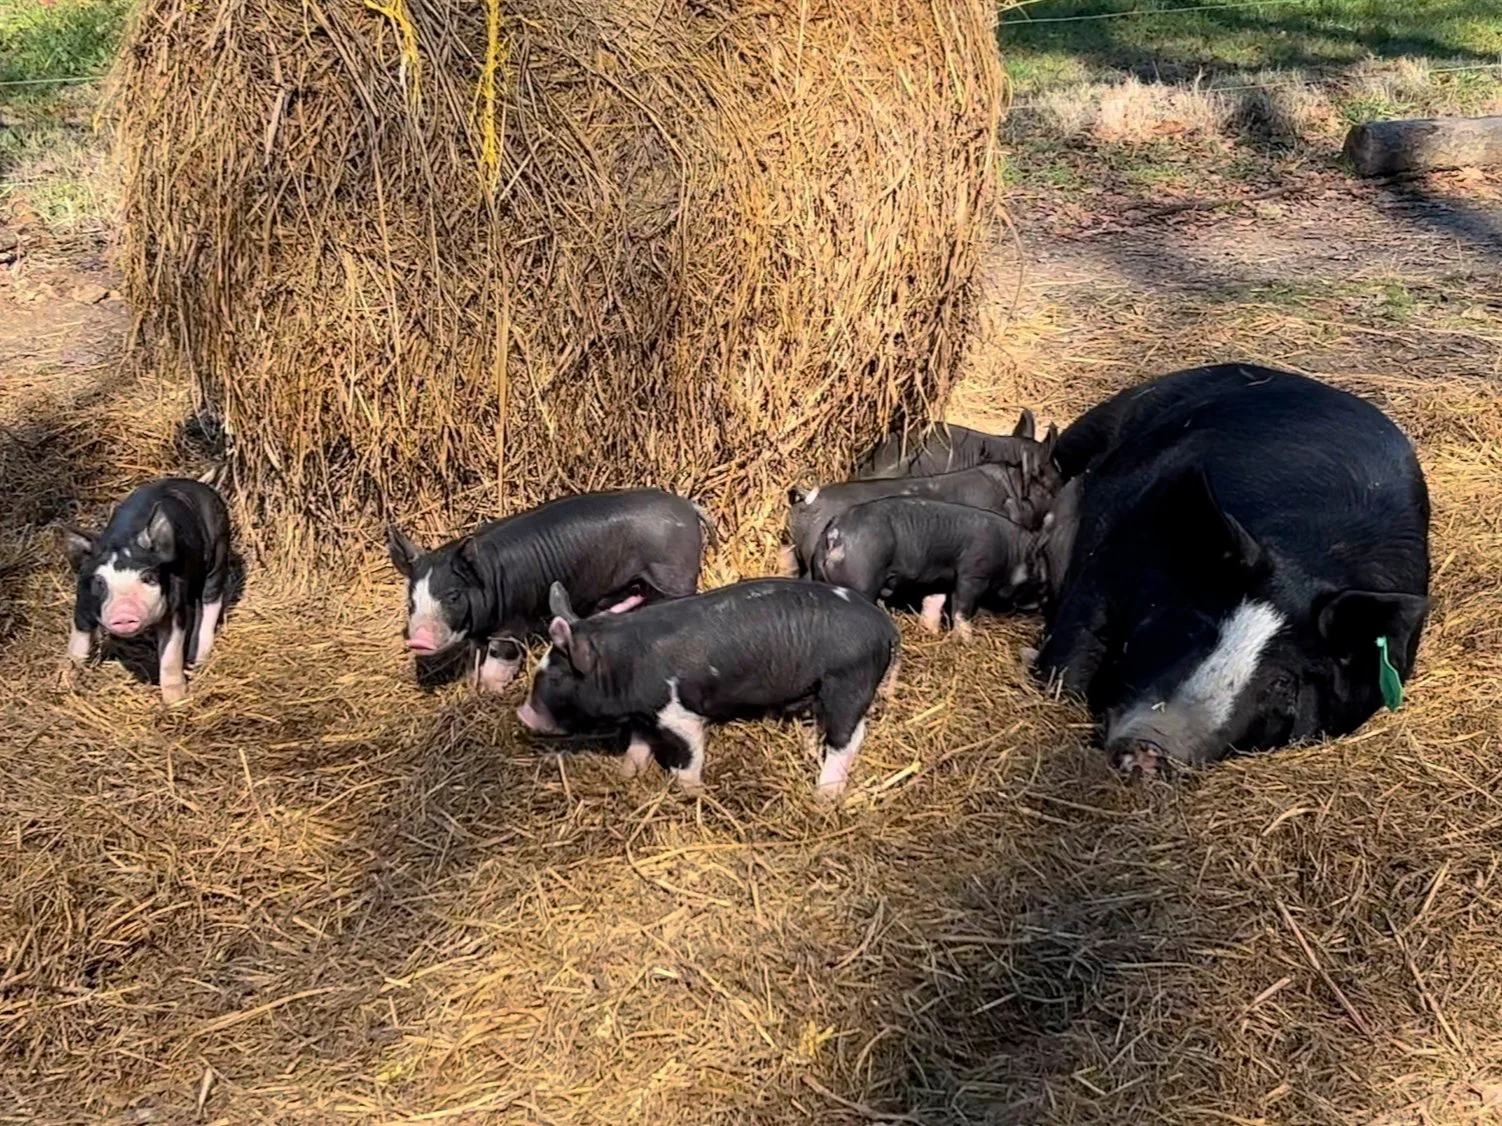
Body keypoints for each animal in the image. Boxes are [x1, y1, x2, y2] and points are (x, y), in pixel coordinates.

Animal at [62, 473, 233, 705]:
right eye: (99, 581)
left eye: (148, 577)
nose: (124, 612)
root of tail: (194, 483)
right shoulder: (83, 601)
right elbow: (77, 645)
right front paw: (64, 683)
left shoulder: (174, 605)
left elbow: (170, 656)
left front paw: (176, 702)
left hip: (219, 549)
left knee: (211, 601)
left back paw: (196, 660)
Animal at [387, 489, 713, 694]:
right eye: (410, 600)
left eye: (453, 596)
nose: (418, 641)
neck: (490, 580)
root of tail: (688, 506)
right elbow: (474, 653)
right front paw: (472, 681)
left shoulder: (513, 620)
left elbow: (503, 653)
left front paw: (491, 689)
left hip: (675, 572)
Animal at [516, 578, 901, 799]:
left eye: (556, 678)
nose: (523, 715)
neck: (621, 664)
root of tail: (884, 626)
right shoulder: (646, 713)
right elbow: (638, 743)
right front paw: (626, 775)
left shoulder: (680, 715)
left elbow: (689, 756)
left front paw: (694, 793)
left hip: (849, 679)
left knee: (848, 736)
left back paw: (823, 797)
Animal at [811, 497, 1043, 639]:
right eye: (1039, 579)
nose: (1038, 606)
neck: (1013, 552)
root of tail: (835, 533)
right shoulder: (974, 573)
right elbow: (962, 608)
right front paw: (966, 640)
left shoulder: (938, 579)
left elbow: (933, 603)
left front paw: (932, 631)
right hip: (862, 575)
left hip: (819, 572)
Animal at [1035, 363, 1430, 776]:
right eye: (1197, 625)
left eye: (1282, 681)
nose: (1152, 744)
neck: (1307, 557)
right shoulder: (1113, 557)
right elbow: (1070, 659)